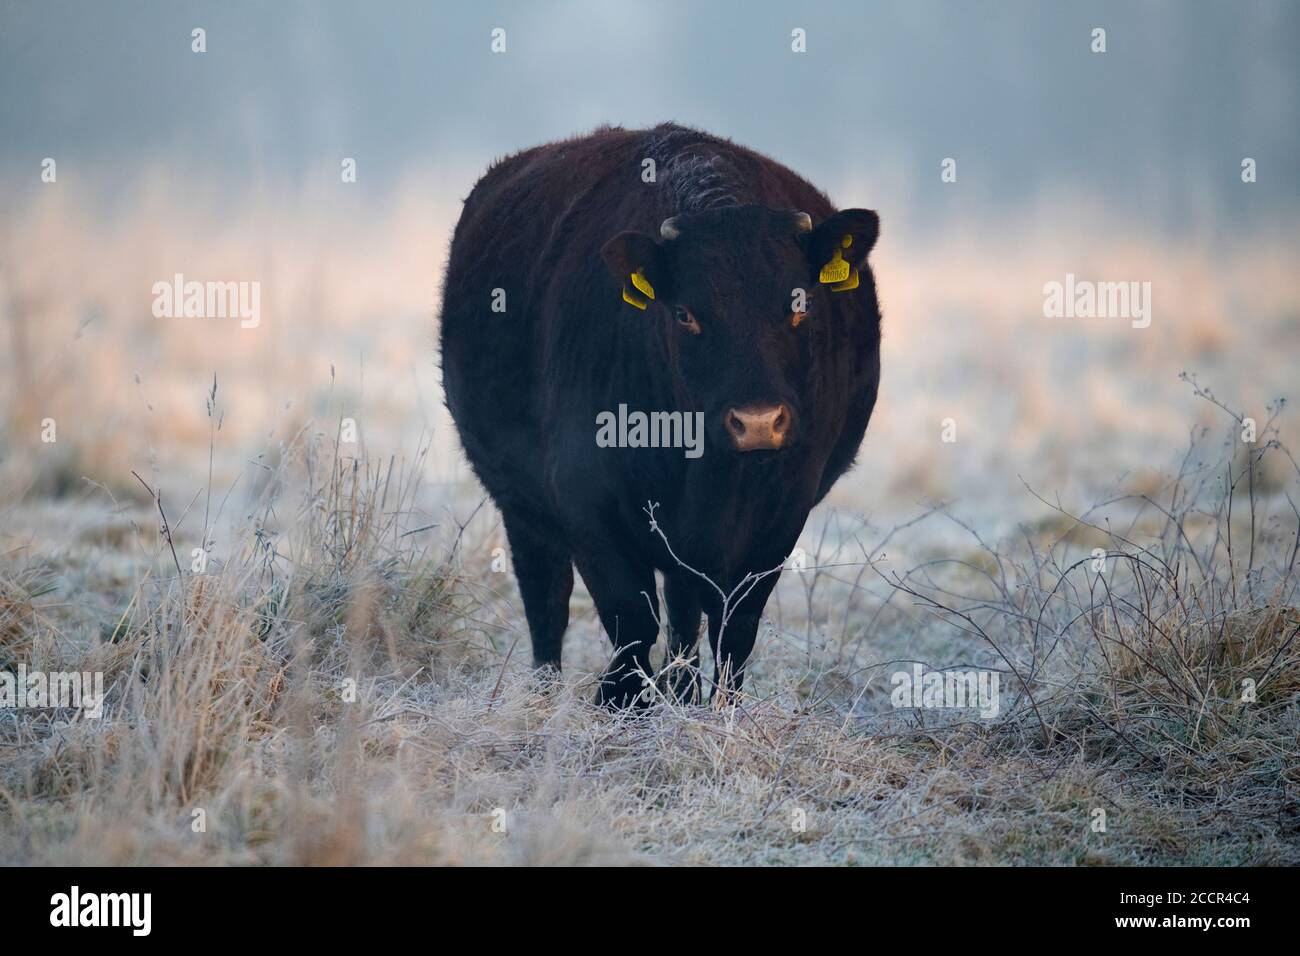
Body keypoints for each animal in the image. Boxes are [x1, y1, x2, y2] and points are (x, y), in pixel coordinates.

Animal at [439, 123, 881, 708]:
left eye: (800, 304)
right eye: (684, 312)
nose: (757, 421)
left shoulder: (784, 506)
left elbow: (735, 626)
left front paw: (720, 709)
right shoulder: (585, 497)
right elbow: (630, 617)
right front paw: (622, 702)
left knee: (684, 608)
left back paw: (684, 689)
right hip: (521, 503)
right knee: (546, 596)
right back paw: (545, 691)